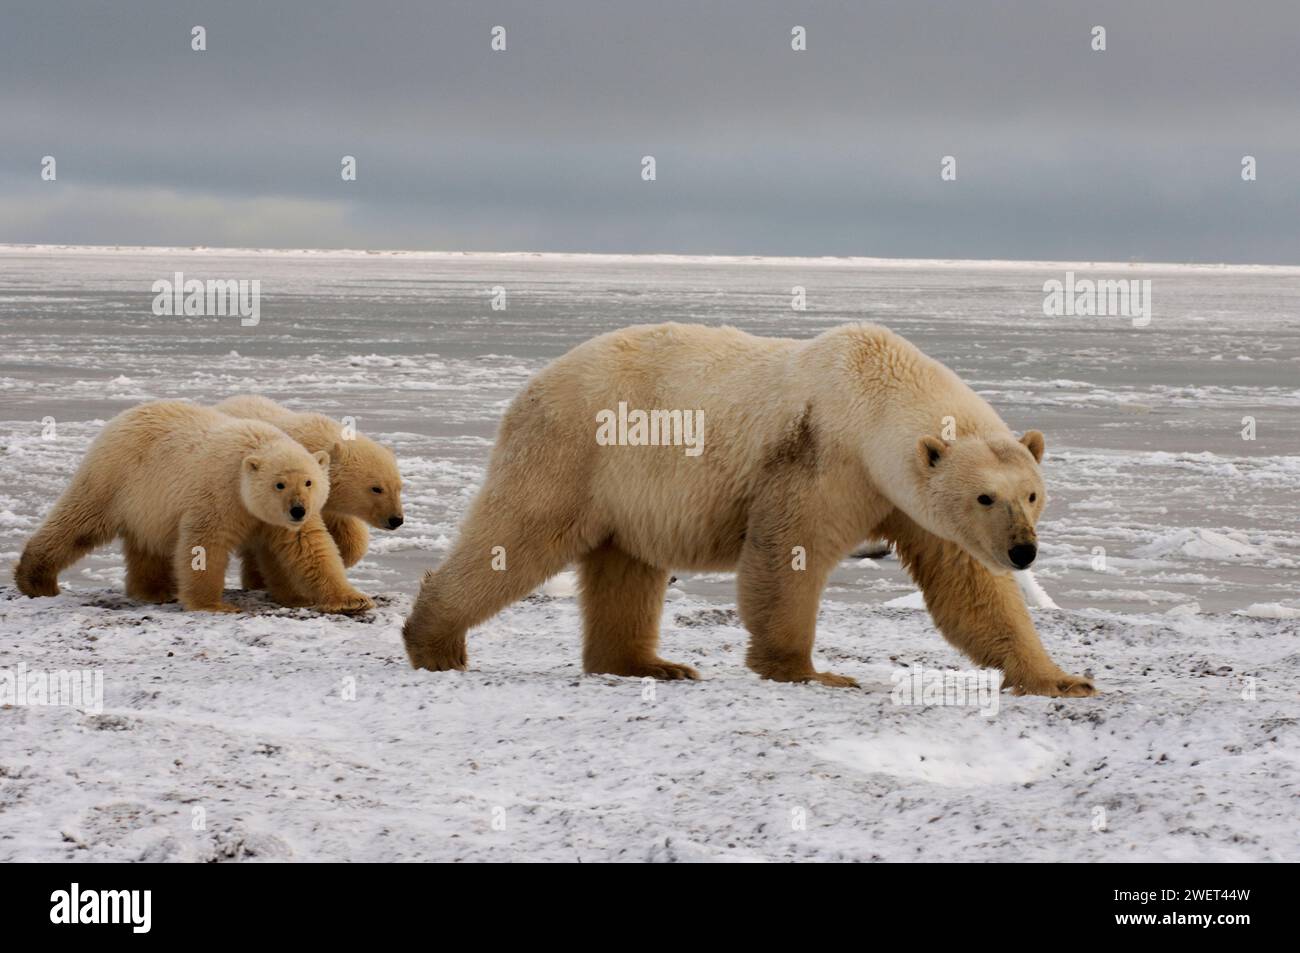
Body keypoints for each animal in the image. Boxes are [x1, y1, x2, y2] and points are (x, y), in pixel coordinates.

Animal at [14, 401, 373, 614]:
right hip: (114, 479)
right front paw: (214, 605)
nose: (297, 510)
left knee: (146, 546)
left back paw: (154, 591)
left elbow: (311, 548)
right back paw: (36, 580)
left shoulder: (280, 519)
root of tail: (123, 416)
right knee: (78, 523)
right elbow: (204, 545)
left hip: (147, 505)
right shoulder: (219, 494)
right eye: (279, 484)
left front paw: (353, 598)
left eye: (309, 482)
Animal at [213, 395, 404, 606]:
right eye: (376, 488)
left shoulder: (325, 500)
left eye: (399, 487)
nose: (396, 519)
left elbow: (350, 535)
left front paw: (343, 555)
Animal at [402, 322, 1096, 698]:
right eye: (985, 496)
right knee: (517, 535)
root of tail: (530, 385)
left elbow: (969, 589)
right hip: (575, 450)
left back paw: (651, 664)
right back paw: (434, 641)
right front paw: (810, 671)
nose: (1023, 550)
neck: (875, 392)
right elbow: (789, 551)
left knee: (626, 569)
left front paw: (1061, 678)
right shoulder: (825, 456)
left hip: (625, 489)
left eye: (1032, 493)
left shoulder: (908, 498)